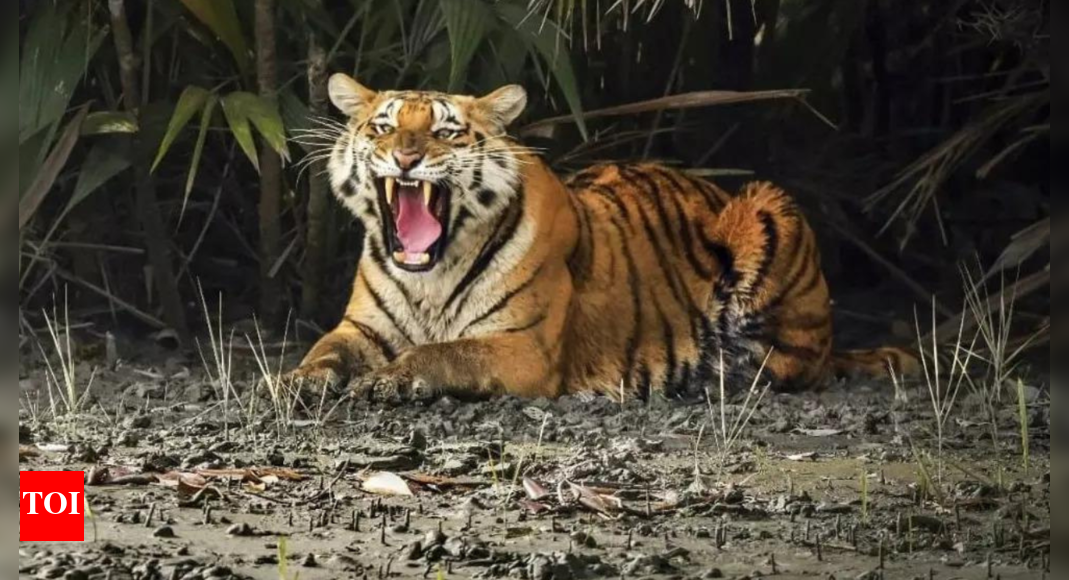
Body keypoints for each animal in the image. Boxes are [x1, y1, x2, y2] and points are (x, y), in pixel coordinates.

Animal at [285, 74, 916, 402]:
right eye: (383, 127)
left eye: (445, 132)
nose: (406, 157)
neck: (430, 277)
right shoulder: (361, 328)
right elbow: (325, 349)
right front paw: (297, 380)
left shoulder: (522, 347)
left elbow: (443, 352)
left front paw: (387, 380)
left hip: (770, 208)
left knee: (791, 366)